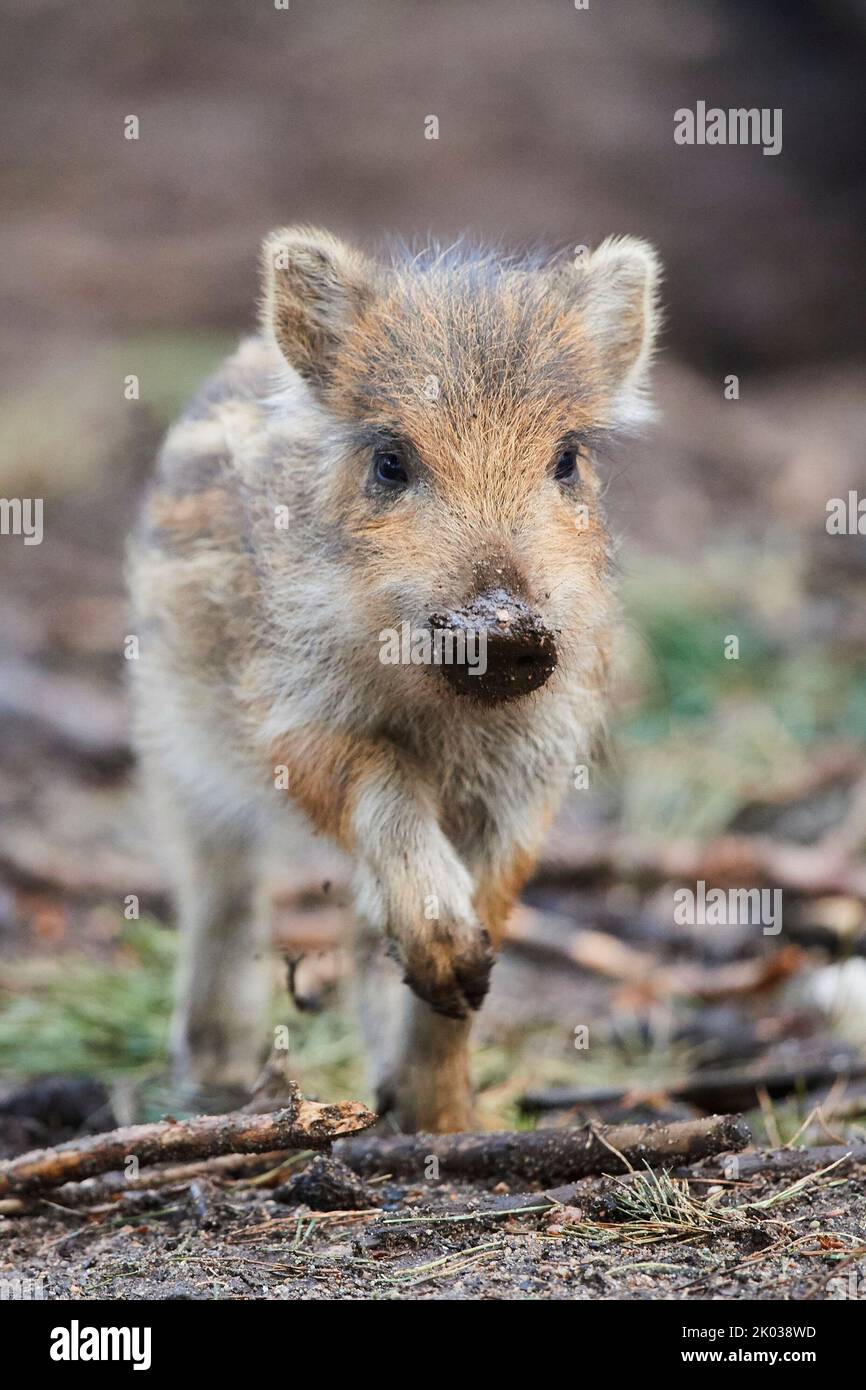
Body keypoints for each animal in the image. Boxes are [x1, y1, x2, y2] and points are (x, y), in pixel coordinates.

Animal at [127, 228, 661, 1131]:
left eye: (567, 459)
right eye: (389, 461)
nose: (502, 630)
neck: (446, 708)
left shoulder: (532, 768)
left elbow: (487, 916)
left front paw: (449, 1124)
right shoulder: (290, 720)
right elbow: (377, 784)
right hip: (178, 750)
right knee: (221, 892)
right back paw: (218, 1081)